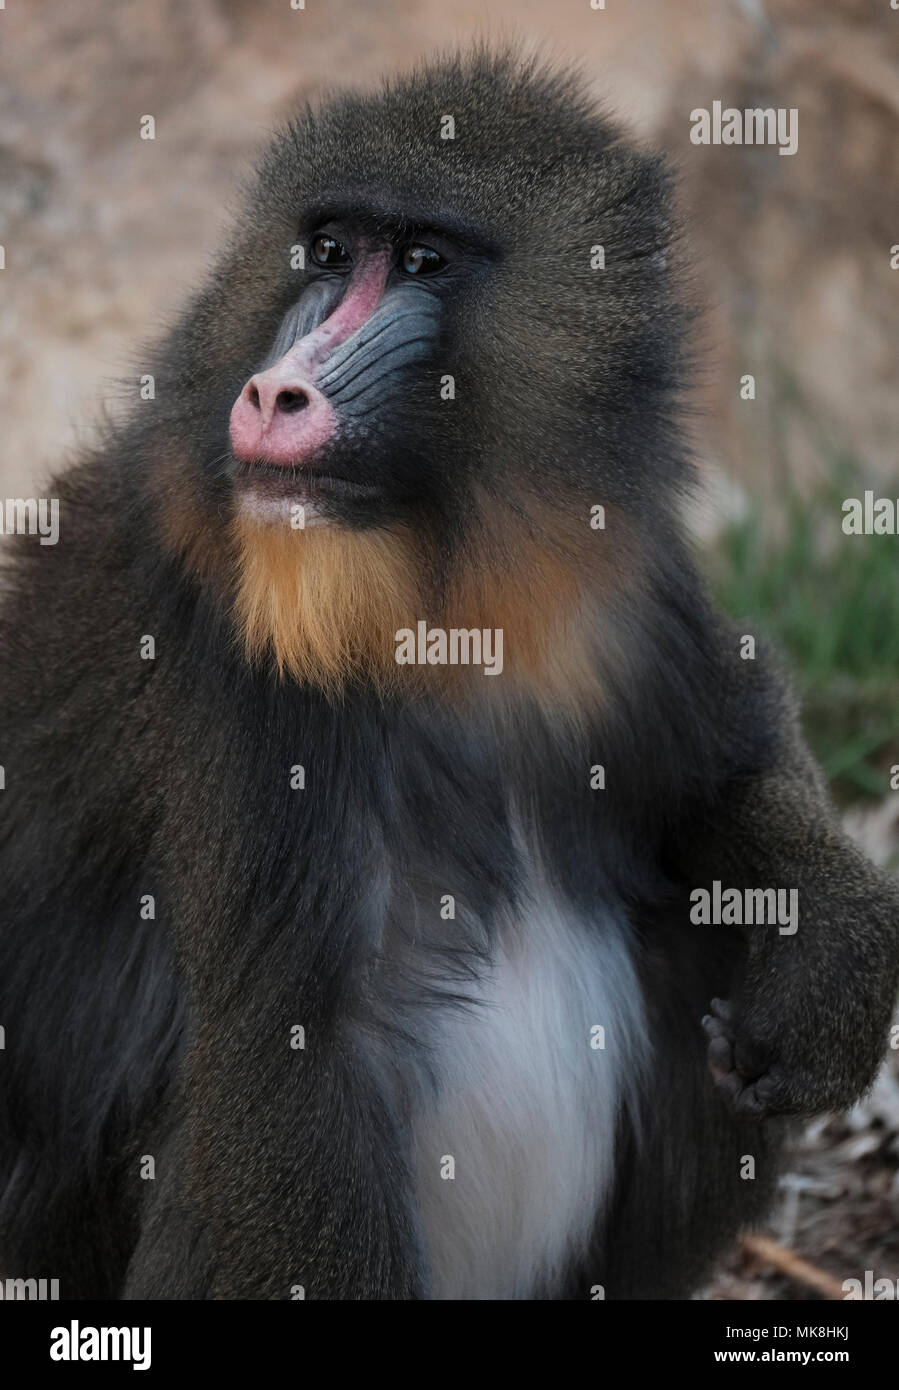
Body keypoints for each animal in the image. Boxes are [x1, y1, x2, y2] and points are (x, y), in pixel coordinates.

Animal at [0, 49, 897, 1302]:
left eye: (421, 261)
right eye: (330, 250)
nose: (276, 393)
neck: (438, 595)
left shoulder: (625, 585)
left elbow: (727, 770)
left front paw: (833, 961)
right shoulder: (227, 692)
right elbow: (285, 1058)